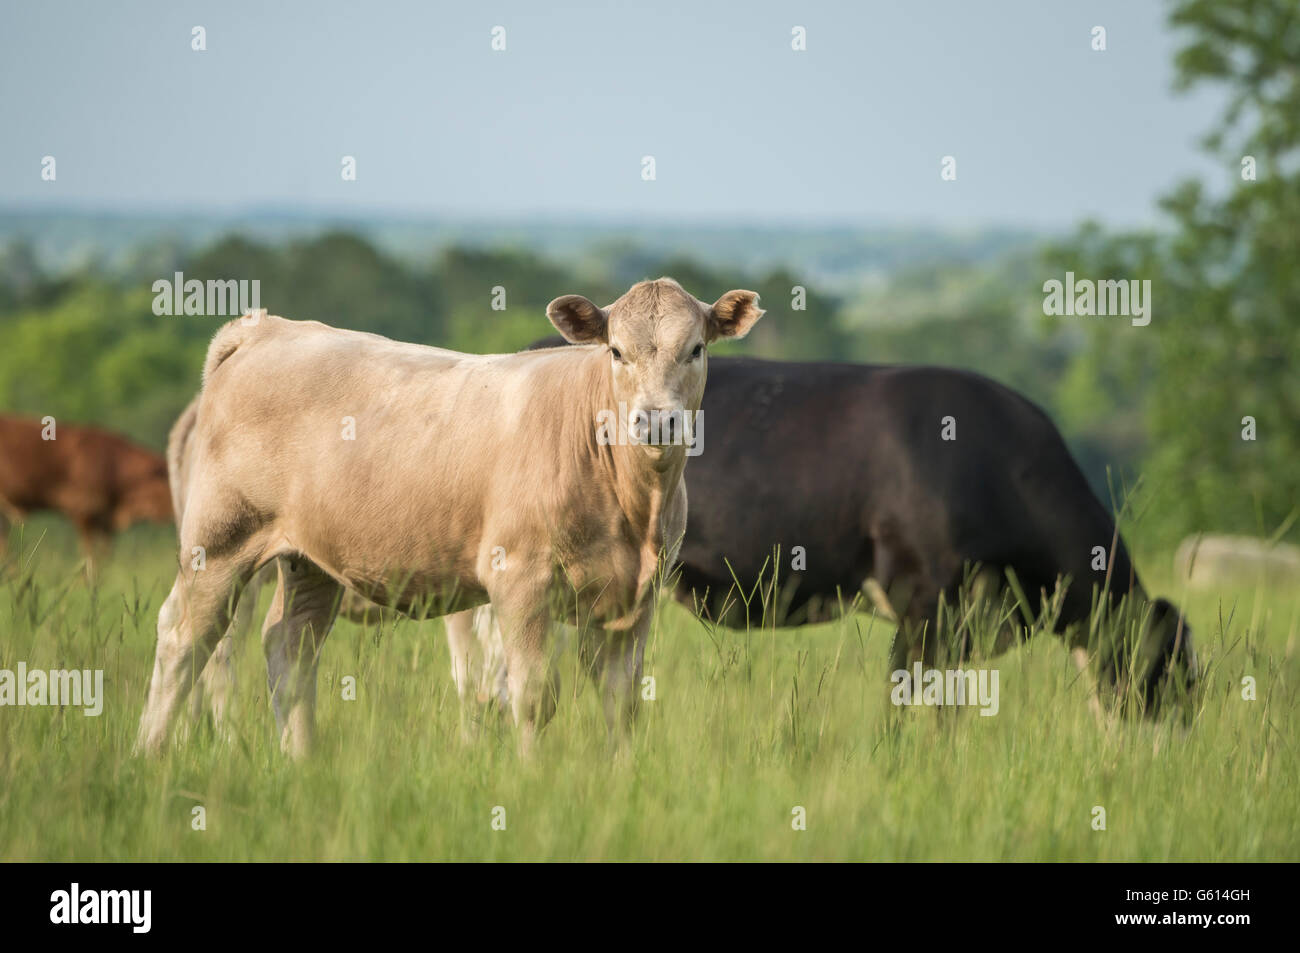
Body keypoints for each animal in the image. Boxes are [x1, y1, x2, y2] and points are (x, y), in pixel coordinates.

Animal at [136, 278, 763, 757]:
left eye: (696, 350)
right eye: (615, 351)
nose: (656, 422)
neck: (634, 505)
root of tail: (267, 329)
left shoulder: (635, 596)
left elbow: (621, 701)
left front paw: (620, 779)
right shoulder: (520, 580)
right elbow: (530, 694)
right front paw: (532, 780)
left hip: (308, 559)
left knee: (290, 650)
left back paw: (301, 762)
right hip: (219, 542)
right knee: (186, 640)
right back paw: (152, 757)